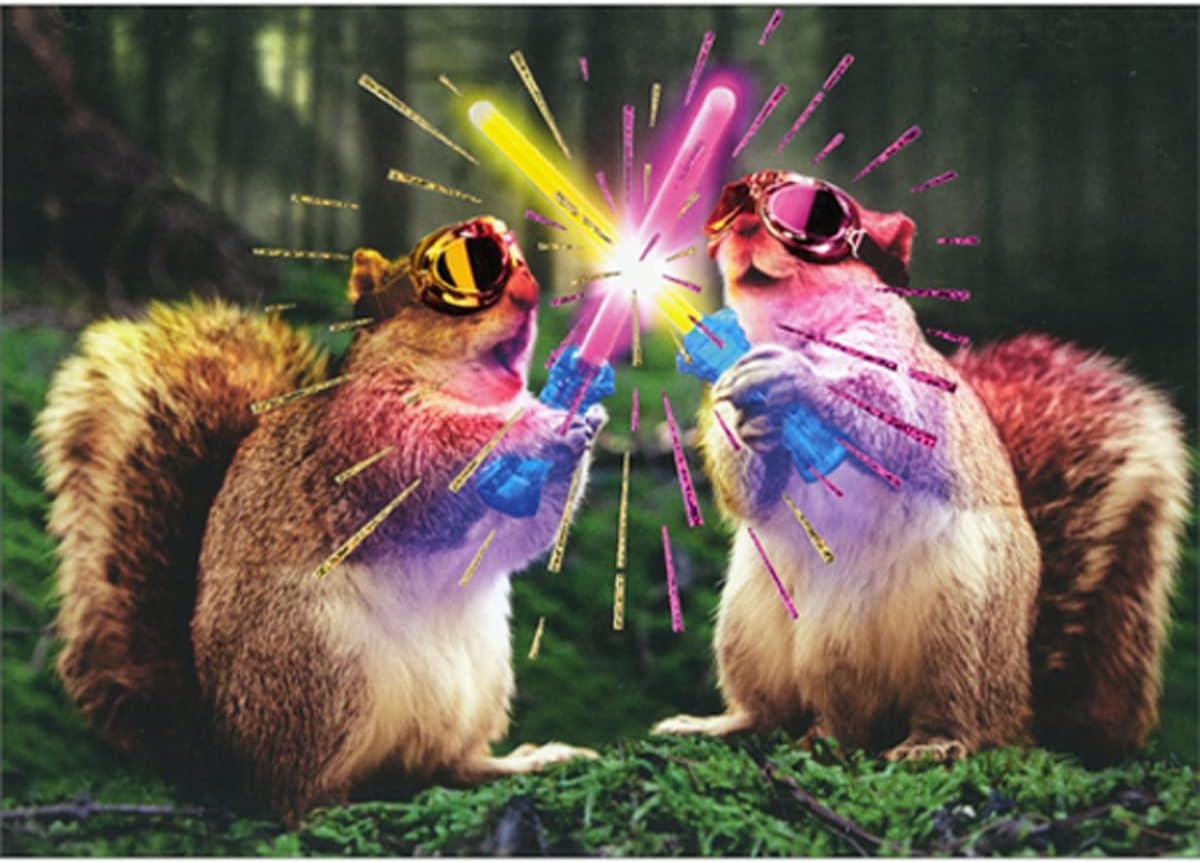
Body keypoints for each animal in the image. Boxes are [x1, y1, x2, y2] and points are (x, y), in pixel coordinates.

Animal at [36, 216, 605, 822]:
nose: (530, 294)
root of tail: (225, 753)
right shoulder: (366, 444)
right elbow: (437, 467)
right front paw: (535, 424)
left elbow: (518, 532)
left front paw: (582, 421)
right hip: (324, 668)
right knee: (294, 797)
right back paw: (332, 806)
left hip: (480, 677)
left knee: (443, 767)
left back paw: (525, 761)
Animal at [652, 171, 1189, 765]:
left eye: (816, 223)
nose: (743, 225)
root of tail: (1020, 708)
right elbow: (745, 490)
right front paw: (756, 429)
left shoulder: (902, 374)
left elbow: (895, 418)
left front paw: (798, 379)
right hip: (750, 625)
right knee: (776, 714)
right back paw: (720, 726)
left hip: (958, 627)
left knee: (948, 716)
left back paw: (929, 743)